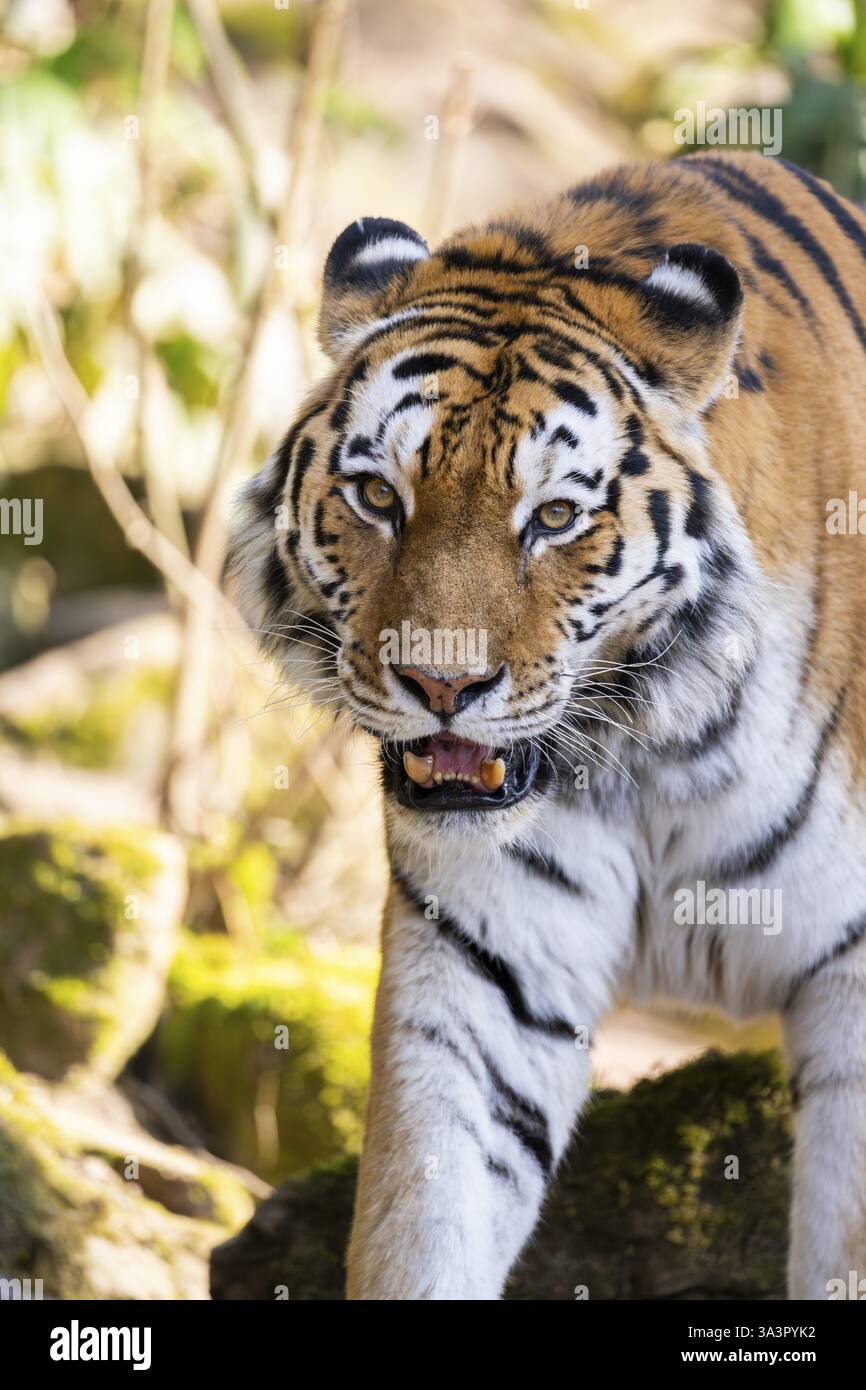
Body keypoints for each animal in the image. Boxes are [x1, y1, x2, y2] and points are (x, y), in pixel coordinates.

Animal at [230, 151, 866, 1301]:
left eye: (556, 517)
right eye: (376, 495)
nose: (441, 684)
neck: (654, 752)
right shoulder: (487, 971)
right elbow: (426, 1222)